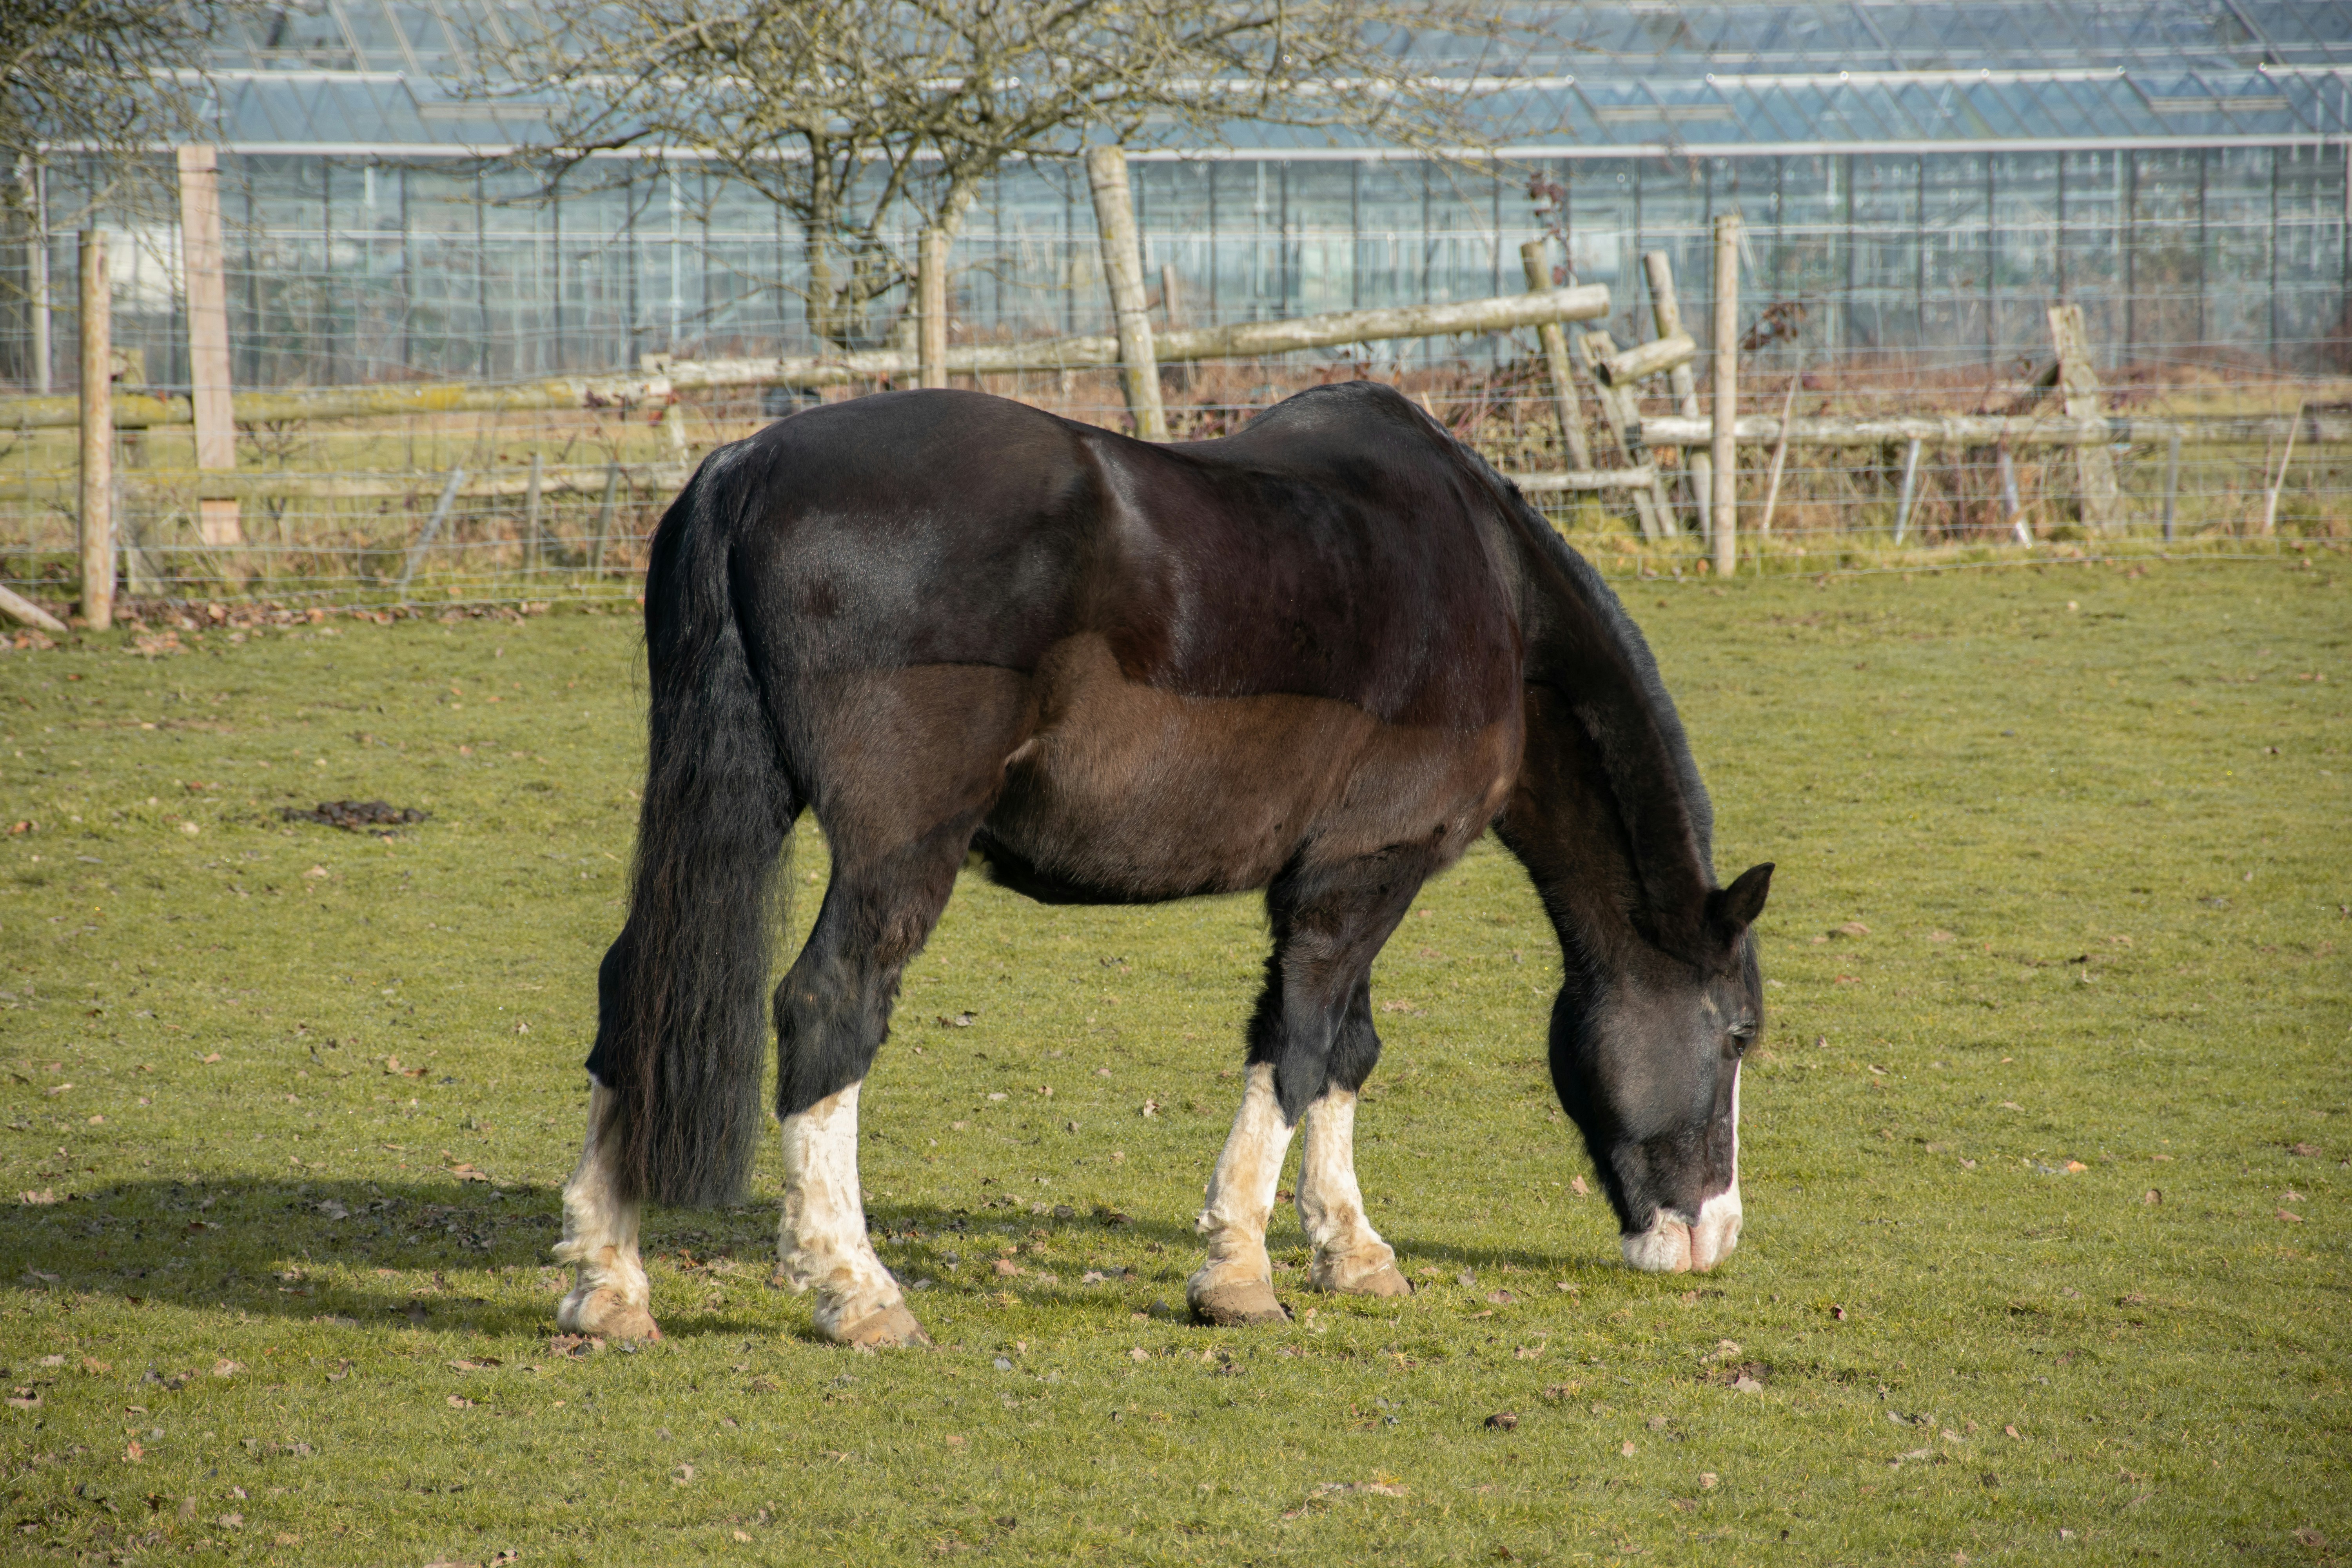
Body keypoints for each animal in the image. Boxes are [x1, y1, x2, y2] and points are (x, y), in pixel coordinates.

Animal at [551, 381, 1771, 1347]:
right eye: (1735, 1036)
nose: (1714, 1232)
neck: (1494, 597)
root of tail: (749, 464)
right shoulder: (1360, 876)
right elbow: (1299, 1050)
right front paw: (1239, 1272)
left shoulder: (1341, 880)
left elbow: (1346, 1051)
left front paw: (1353, 1251)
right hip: (897, 857)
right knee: (826, 1009)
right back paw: (855, 1289)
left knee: (636, 990)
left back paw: (611, 1284)